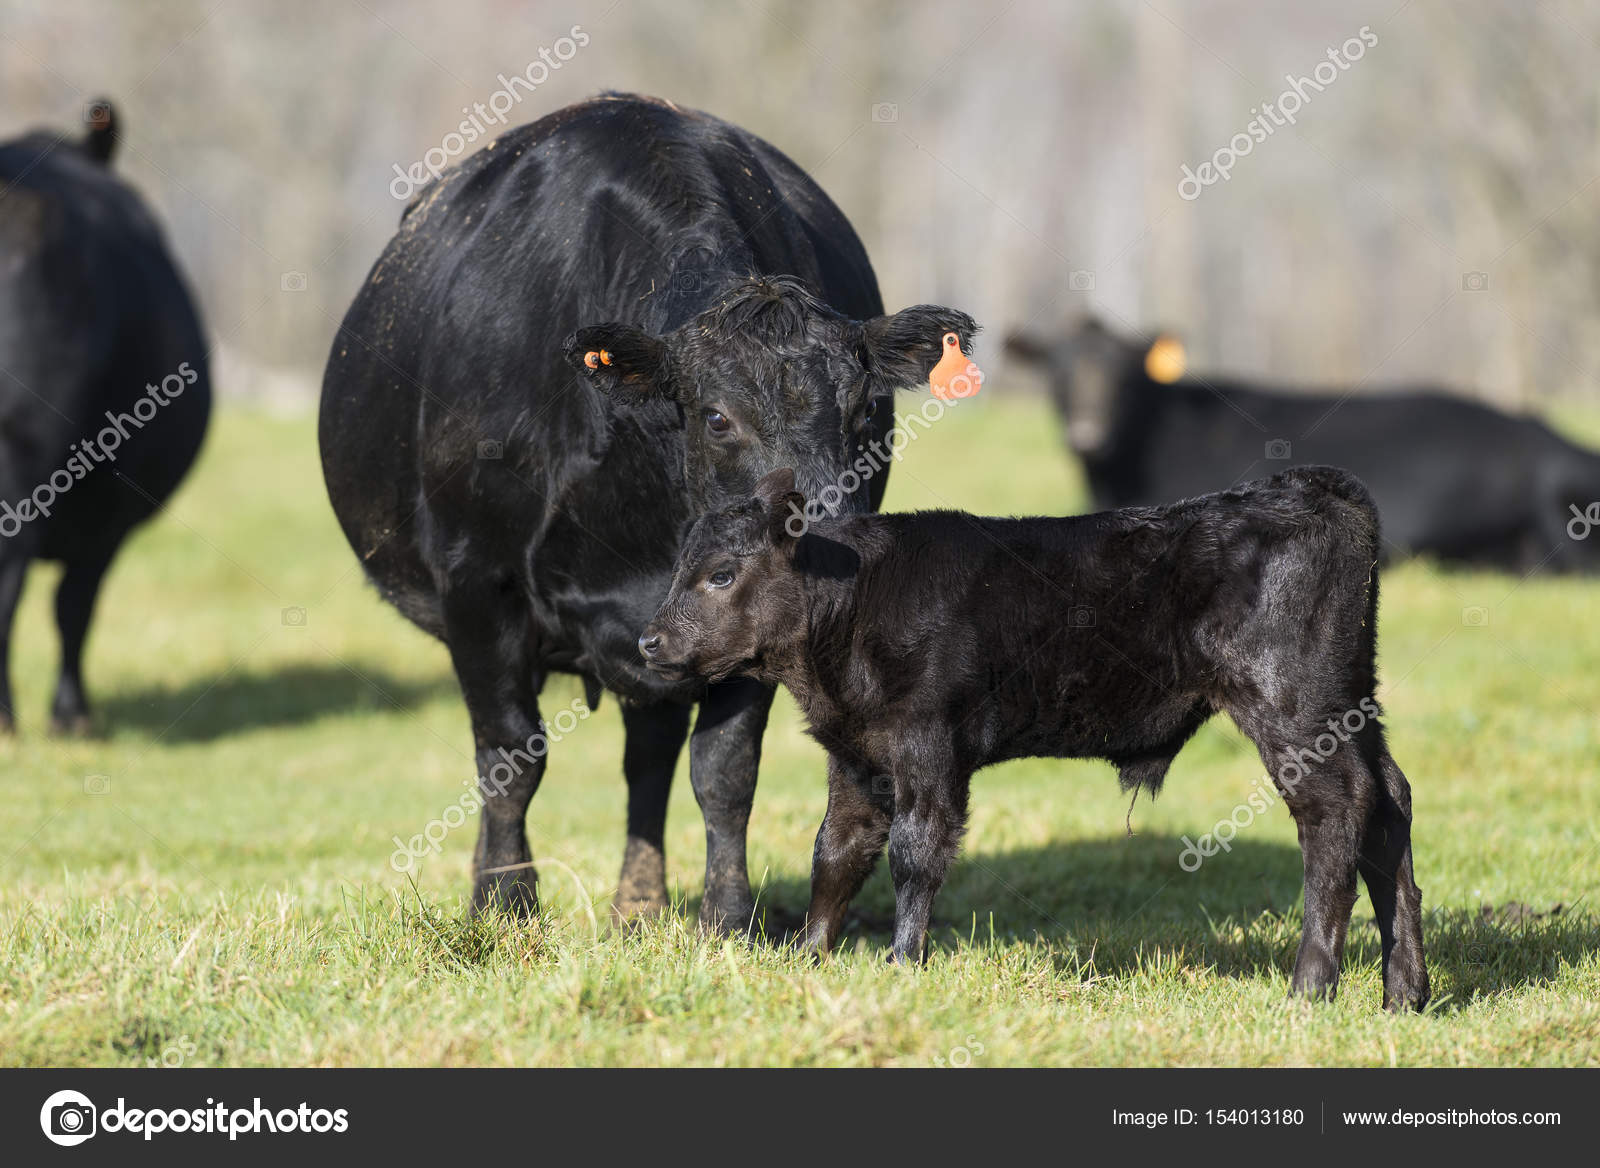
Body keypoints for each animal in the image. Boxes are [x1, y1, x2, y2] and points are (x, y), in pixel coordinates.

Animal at [318, 94, 977, 929]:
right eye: (718, 418)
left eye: (866, 412)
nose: (835, 542)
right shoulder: (478, 580)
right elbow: (508, 756)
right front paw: (504, 905)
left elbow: (724, 768)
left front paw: (727, 917)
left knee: (652, 753)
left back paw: (640, 901)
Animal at [641, 465, 1431, 1012]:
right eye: (678, 567)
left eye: (722, 574)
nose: (649, 642)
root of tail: (1309, 486)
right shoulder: (858, 755)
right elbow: (835, 853)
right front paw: (806, 961)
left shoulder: (929, 750)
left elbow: (914, 854)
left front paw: (902, 966)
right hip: (1352, 703)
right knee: (1389, 806)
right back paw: (1404, 995)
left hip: (1294, 706)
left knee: (1337, 811)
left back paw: (1310, 990)